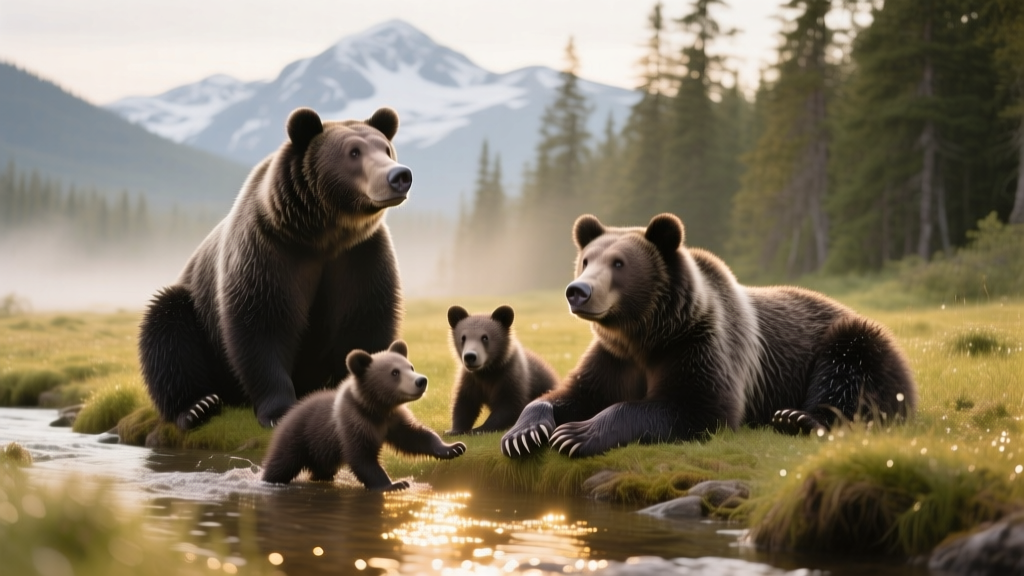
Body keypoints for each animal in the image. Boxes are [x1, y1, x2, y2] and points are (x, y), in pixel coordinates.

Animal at [138, 106, 412, 431]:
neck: (324, 233)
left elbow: (365, 323)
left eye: (386, 148)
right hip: (195, 312)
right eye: (354, 152)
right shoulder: (269, 251)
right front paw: (278, 410)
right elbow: (262, 326)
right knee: (167, 327)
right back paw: (197, 406)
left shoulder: (360, 256)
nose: (399, 175)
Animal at [261, 341, 466, 489]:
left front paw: (454, 448)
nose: (421, 381)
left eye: (411, 367)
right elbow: (362, 457)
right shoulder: (353, 422)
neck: (375, 407)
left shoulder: (392, 420)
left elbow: (415, 437)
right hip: (299, 437)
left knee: (321, 470)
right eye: (395, 372)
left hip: (320, 451)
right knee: (281, 464)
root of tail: (290, 412)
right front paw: (394, 484)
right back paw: (268, 480)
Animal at [445, 305, 559, 435]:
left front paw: (479, 429)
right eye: (463, 337)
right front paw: (455, 430)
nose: (470, 356)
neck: (488, 370)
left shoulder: (511, 376)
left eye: (485, 337)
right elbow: (465, 403)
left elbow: (509, 406)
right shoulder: (471, 379)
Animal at [500, 213, 917, 459]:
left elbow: (696, 406)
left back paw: (796, 418)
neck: (646, 334)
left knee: (850, 368)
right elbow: (575, 392)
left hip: (851, 339)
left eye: (618, 264)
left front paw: (576, 434)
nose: (578, 291)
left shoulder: (699, 345)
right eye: (586, 260)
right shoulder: (614, 358)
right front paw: (524, 433)